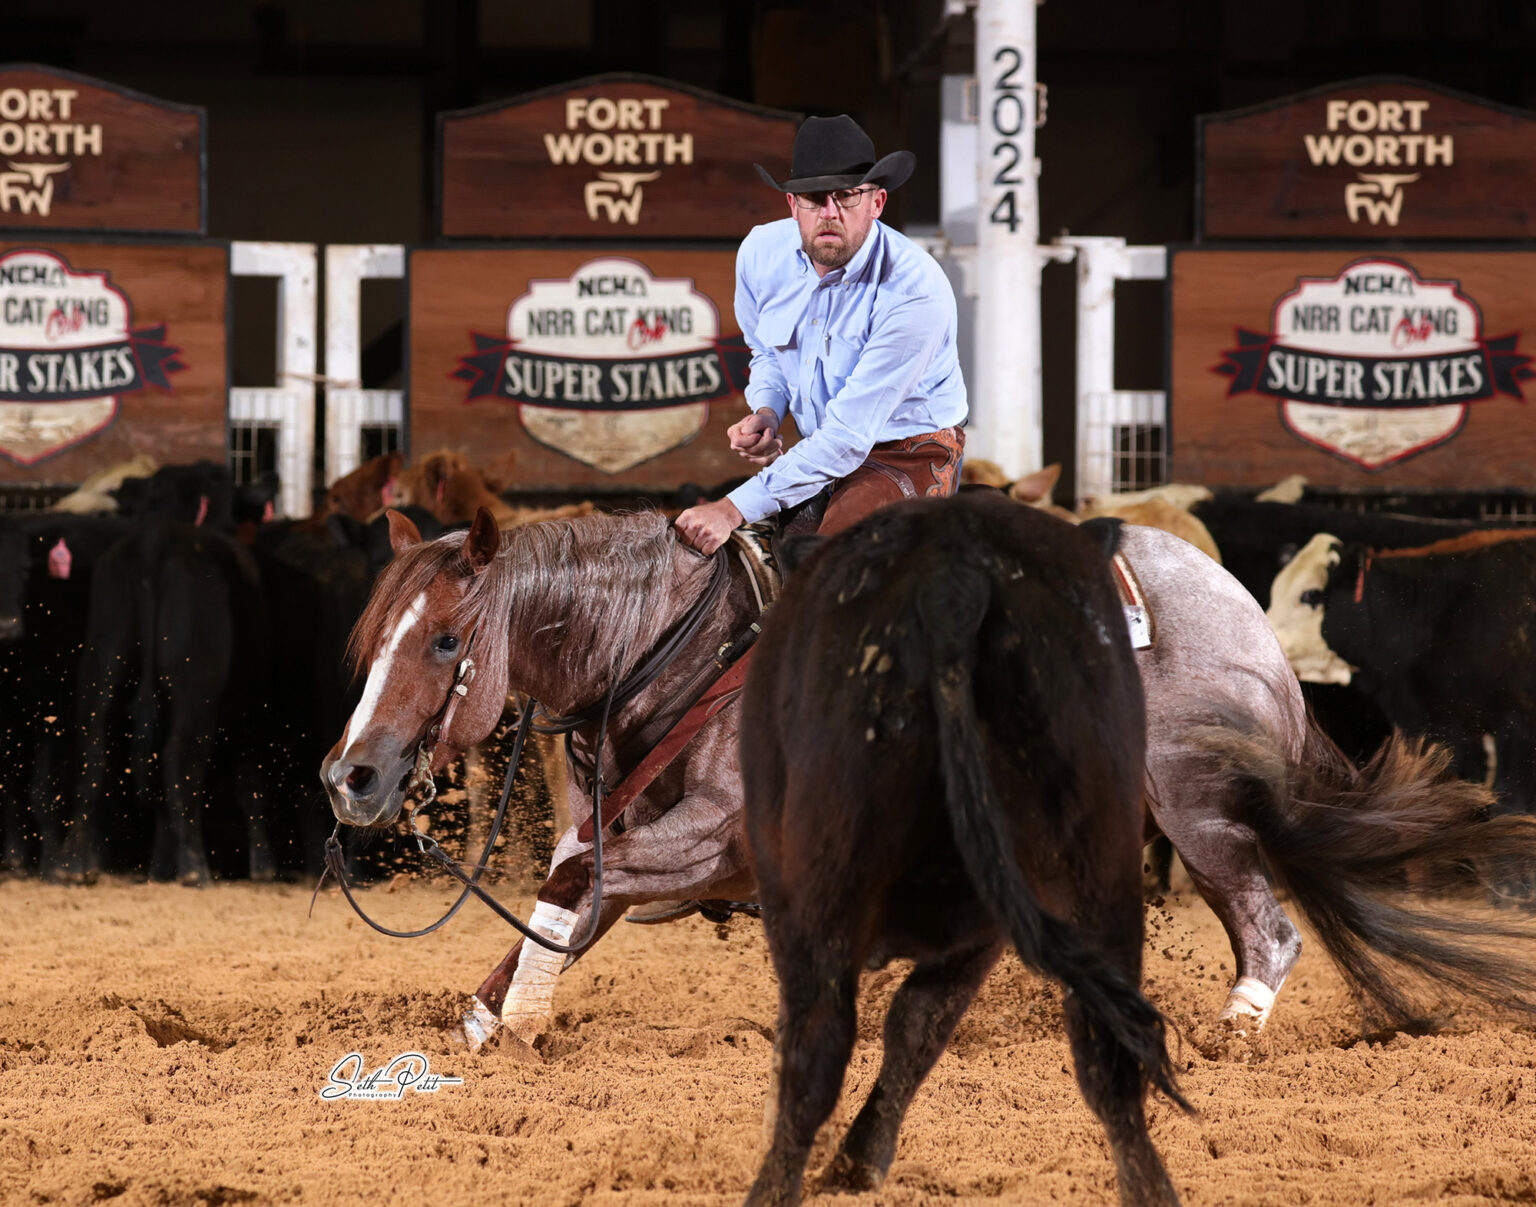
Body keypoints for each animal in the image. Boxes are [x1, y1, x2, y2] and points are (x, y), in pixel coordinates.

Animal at [321, 501, 1536, 1055]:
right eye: (372, 637)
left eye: (445, 641)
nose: (352, 776)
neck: (689, 651)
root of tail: (1240, 607)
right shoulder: (635, 830)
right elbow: (571, 892)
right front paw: (487, 1020)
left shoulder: (714, 839)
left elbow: (570, 886)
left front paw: (515, 1023)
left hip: (1194, 803)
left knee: (1268, 928)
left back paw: (1227, 1031)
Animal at [739, 492, 1185, 1207]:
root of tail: (955, 580)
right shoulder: (987, 931)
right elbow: (920, 1026)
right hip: (1096, 865)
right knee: (1110, 1053)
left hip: (823, 875)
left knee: (816, 1042)